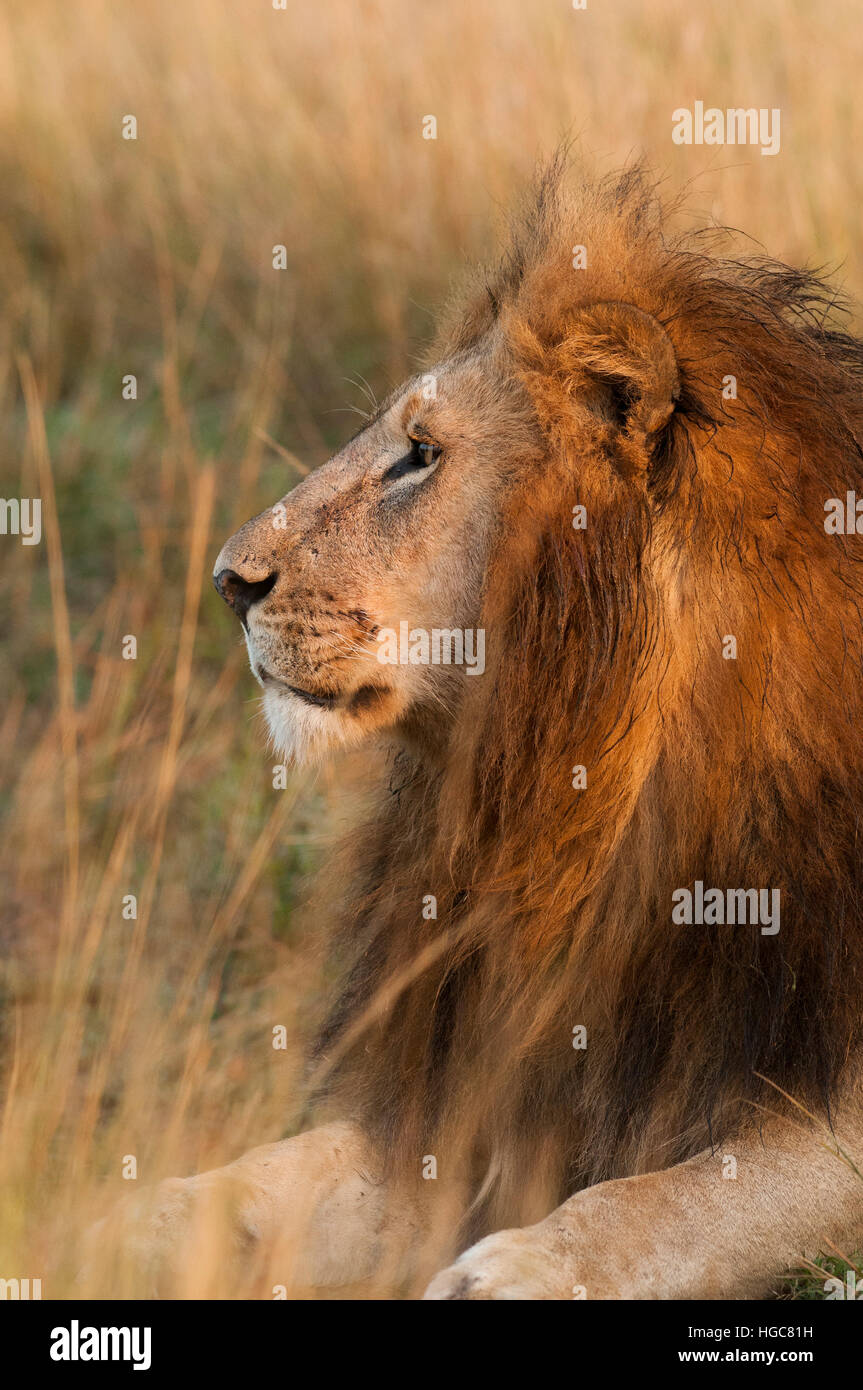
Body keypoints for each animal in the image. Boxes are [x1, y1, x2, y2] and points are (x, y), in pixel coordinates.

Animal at [114, 161, 863, 1299]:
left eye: (419, 455)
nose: (229, 583)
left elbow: (677, 1195)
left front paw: (522, 1269)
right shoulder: (474, 1078)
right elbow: (279, 1171)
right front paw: (118, 1220)